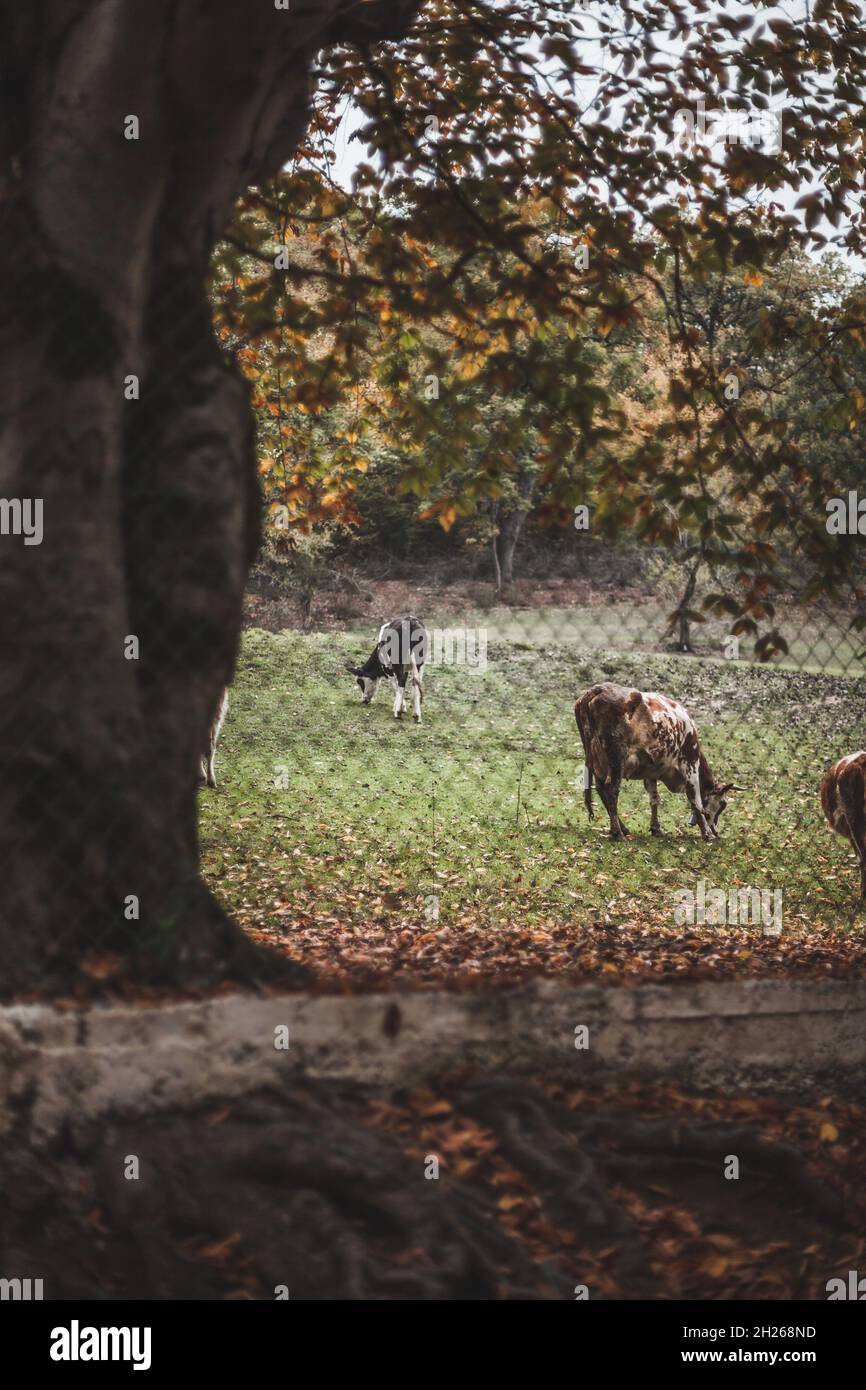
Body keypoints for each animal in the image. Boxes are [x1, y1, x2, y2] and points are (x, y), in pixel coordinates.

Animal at [574, 681, 738, 842]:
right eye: (722, 804)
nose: (715, 829)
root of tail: (598, 689)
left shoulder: (651, 772)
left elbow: (654, 799)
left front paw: (656, 828)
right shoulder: (690, 763)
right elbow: (695, 801)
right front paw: (707, 834)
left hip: (598, 762)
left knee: (602, 790)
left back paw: (623, 829)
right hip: (616, 760)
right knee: (611, 790)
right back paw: (618, 833)